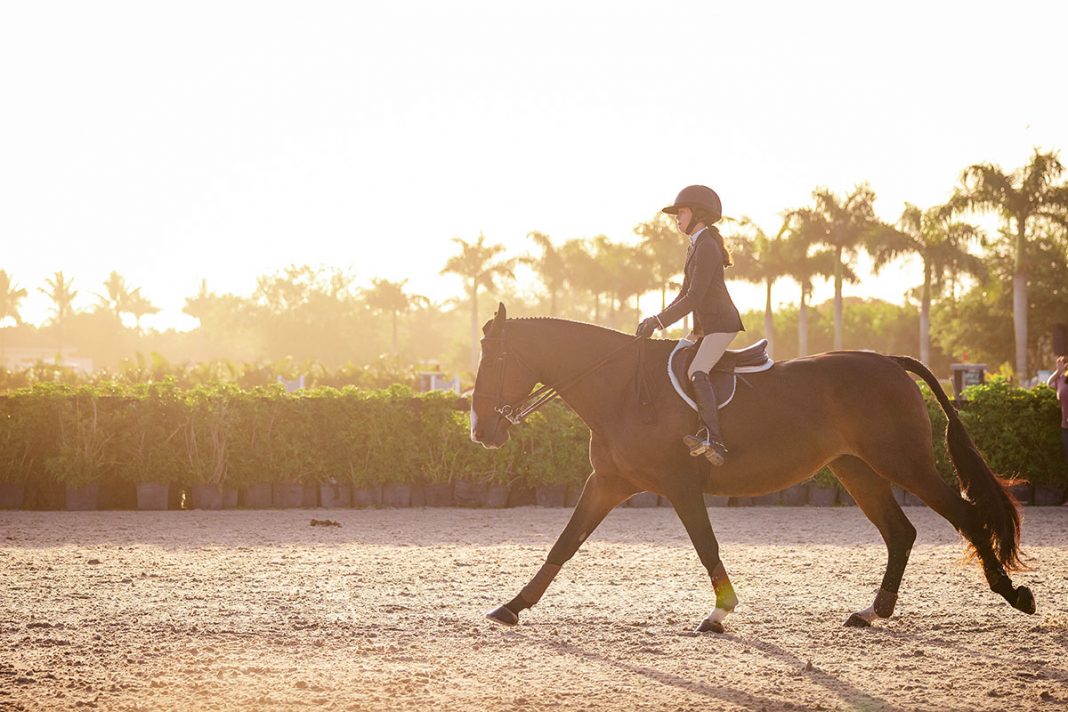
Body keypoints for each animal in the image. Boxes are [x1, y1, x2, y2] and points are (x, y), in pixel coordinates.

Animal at [470, 304, 1035, 633]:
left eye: (493, 359)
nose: (481, 431)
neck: (624, 389)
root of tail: (889, 361)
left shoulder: (679, 485)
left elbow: (706, 544)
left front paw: (720, 611)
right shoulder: (608, 482)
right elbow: (564, 544)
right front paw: (512, 606)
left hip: (904, 463)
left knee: (965, 517)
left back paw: (1013, 594)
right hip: (858, 471)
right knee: (901, 532)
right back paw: (872, 611)